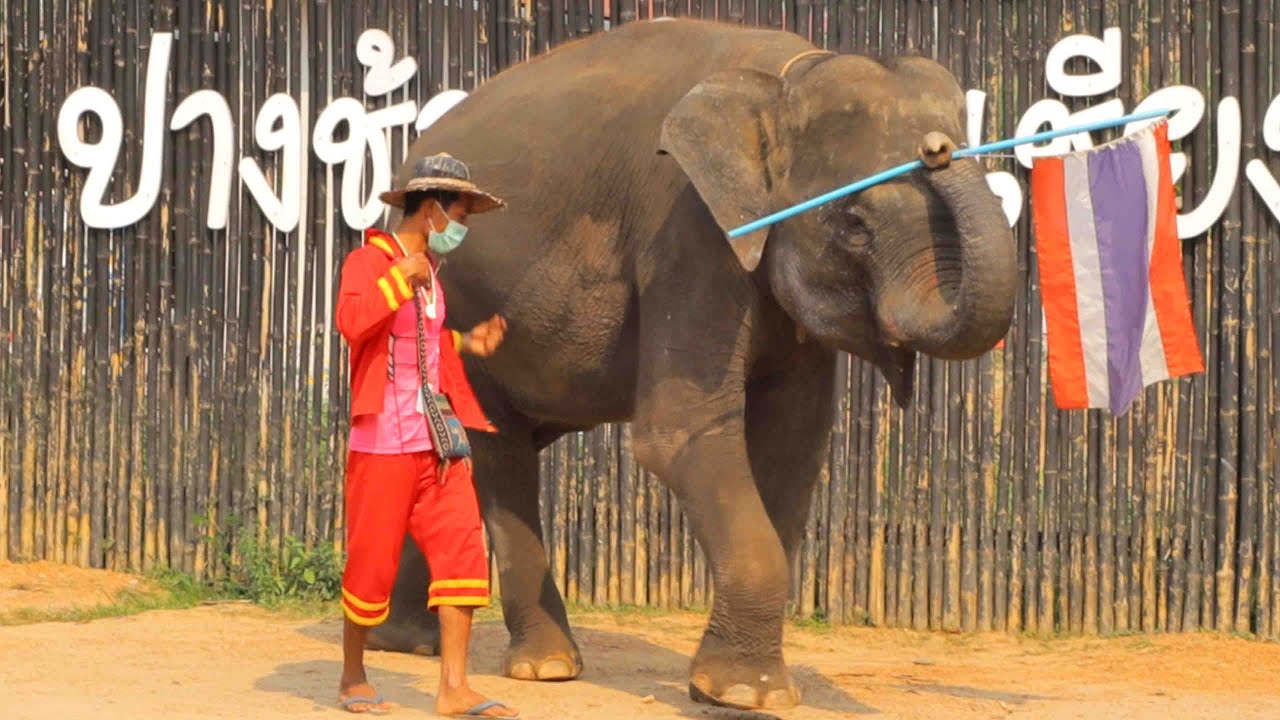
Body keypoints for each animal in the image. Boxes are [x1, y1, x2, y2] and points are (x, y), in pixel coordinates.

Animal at [365, 17, 1015, 711]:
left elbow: (793, 446)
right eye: (856, 224)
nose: (938, 147)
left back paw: (405, 643)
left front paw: (735, 688)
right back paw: (546, 666)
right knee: (498, 451)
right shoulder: (687, 232)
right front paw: (744, 694)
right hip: (459, 310)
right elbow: (680, 435)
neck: (785, 77)